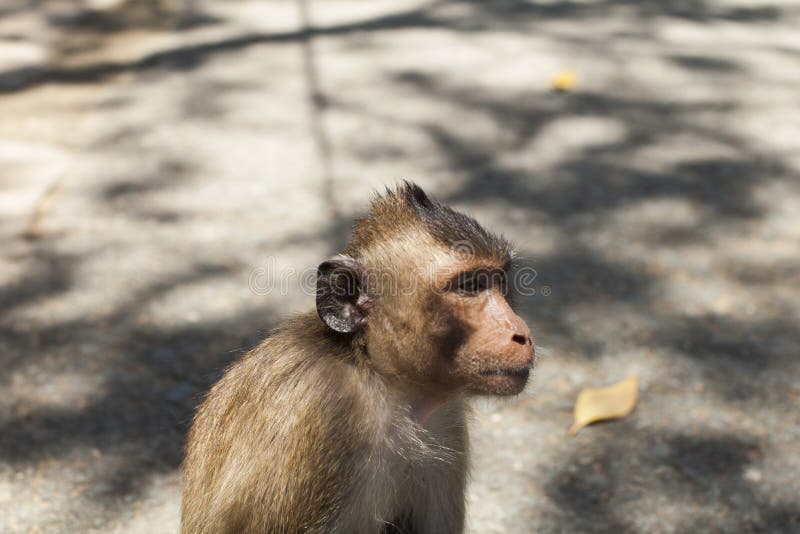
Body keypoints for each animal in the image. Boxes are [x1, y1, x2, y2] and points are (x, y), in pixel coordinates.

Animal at [181, 182, 534, 534]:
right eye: (469, 286)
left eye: (499, 281)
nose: (521, 333)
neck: (379, 377)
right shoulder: (315, 407)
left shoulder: (447, 425)